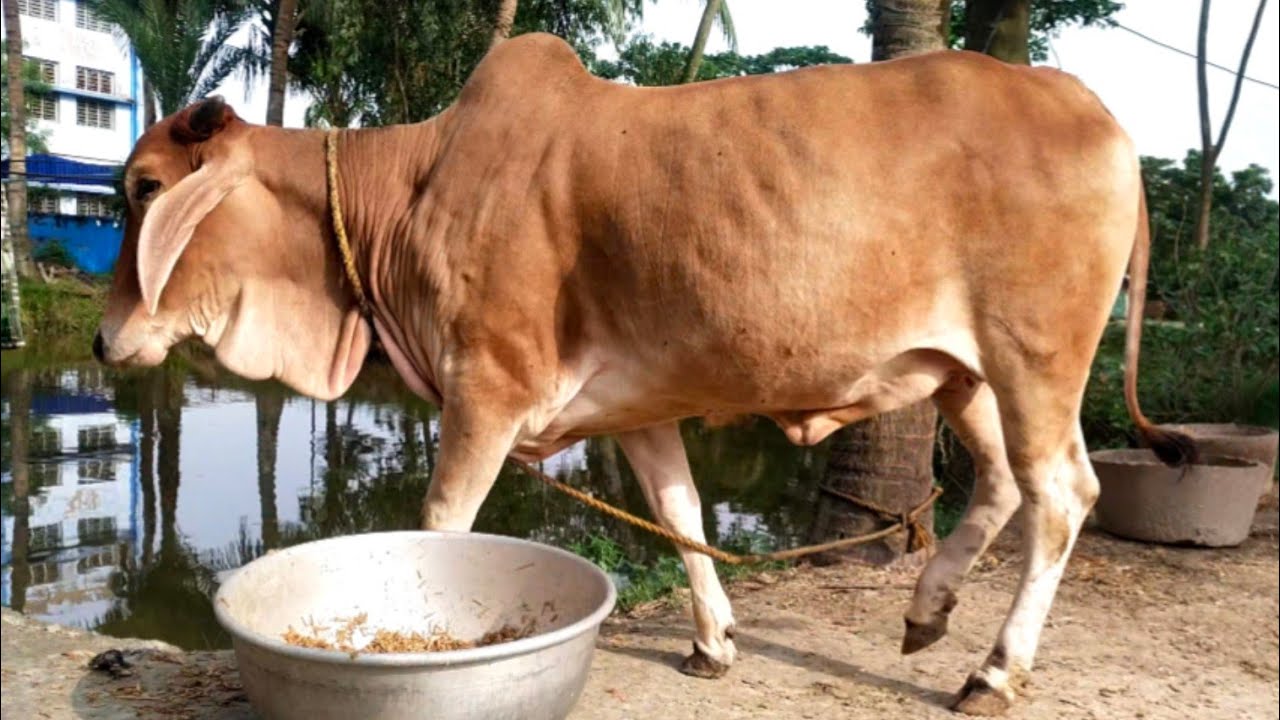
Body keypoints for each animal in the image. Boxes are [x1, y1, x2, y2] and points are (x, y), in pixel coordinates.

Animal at [94, 33, 1189, 715]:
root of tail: (1098, 113)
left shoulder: (486, 390)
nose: (105, 343)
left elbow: (440, 526)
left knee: (1061, 494)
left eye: (144, 188)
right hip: (964, 375)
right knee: (1004, 483)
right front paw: (712, 642)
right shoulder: (638, 408)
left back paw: (992, 673)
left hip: (1033, 358)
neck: (406, 192)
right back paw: (926, 614)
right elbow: (681, 515)